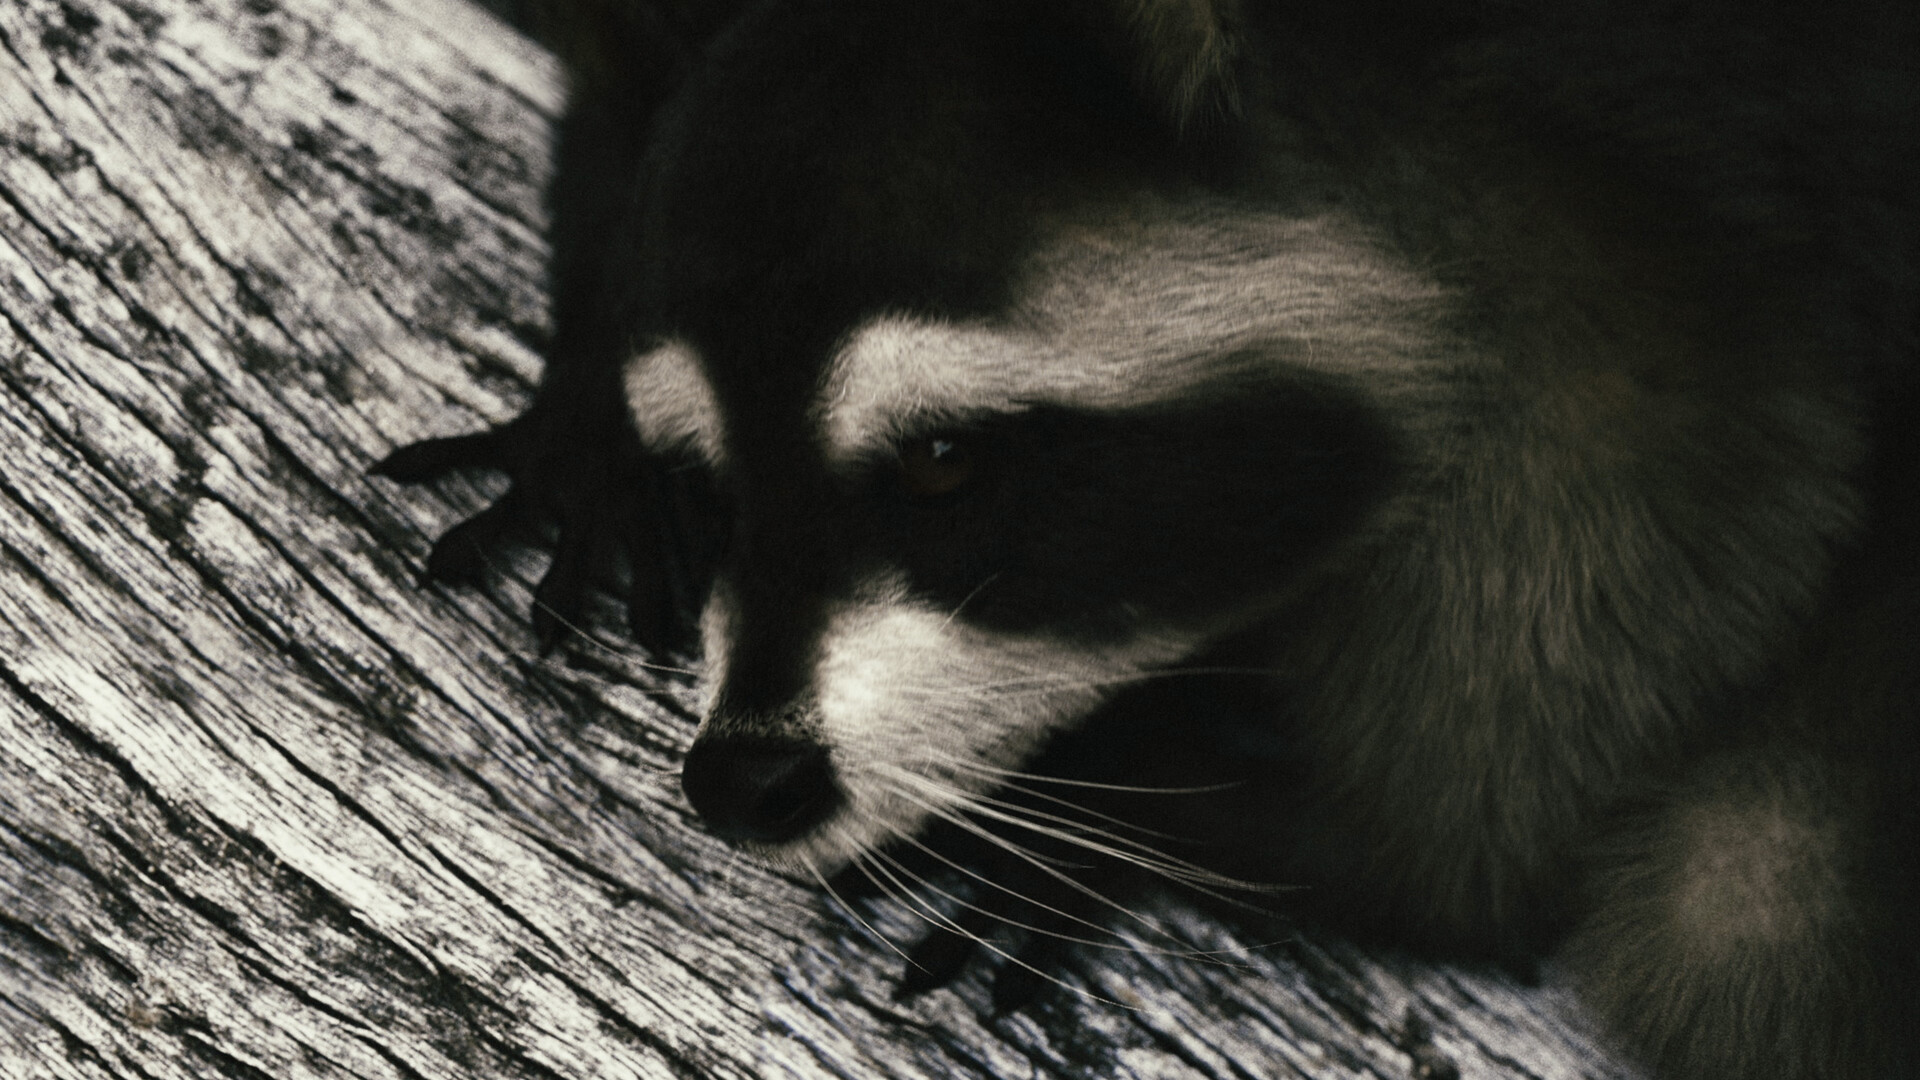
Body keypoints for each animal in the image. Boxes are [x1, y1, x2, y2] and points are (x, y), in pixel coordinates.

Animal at [375, 1, 1920, 1076]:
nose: (744, 786)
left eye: (942, 466)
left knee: (1748, 899)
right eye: (705, 485)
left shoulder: (1637, 346)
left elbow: (1466, 832)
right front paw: (582, 424)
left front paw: (1108, 797)